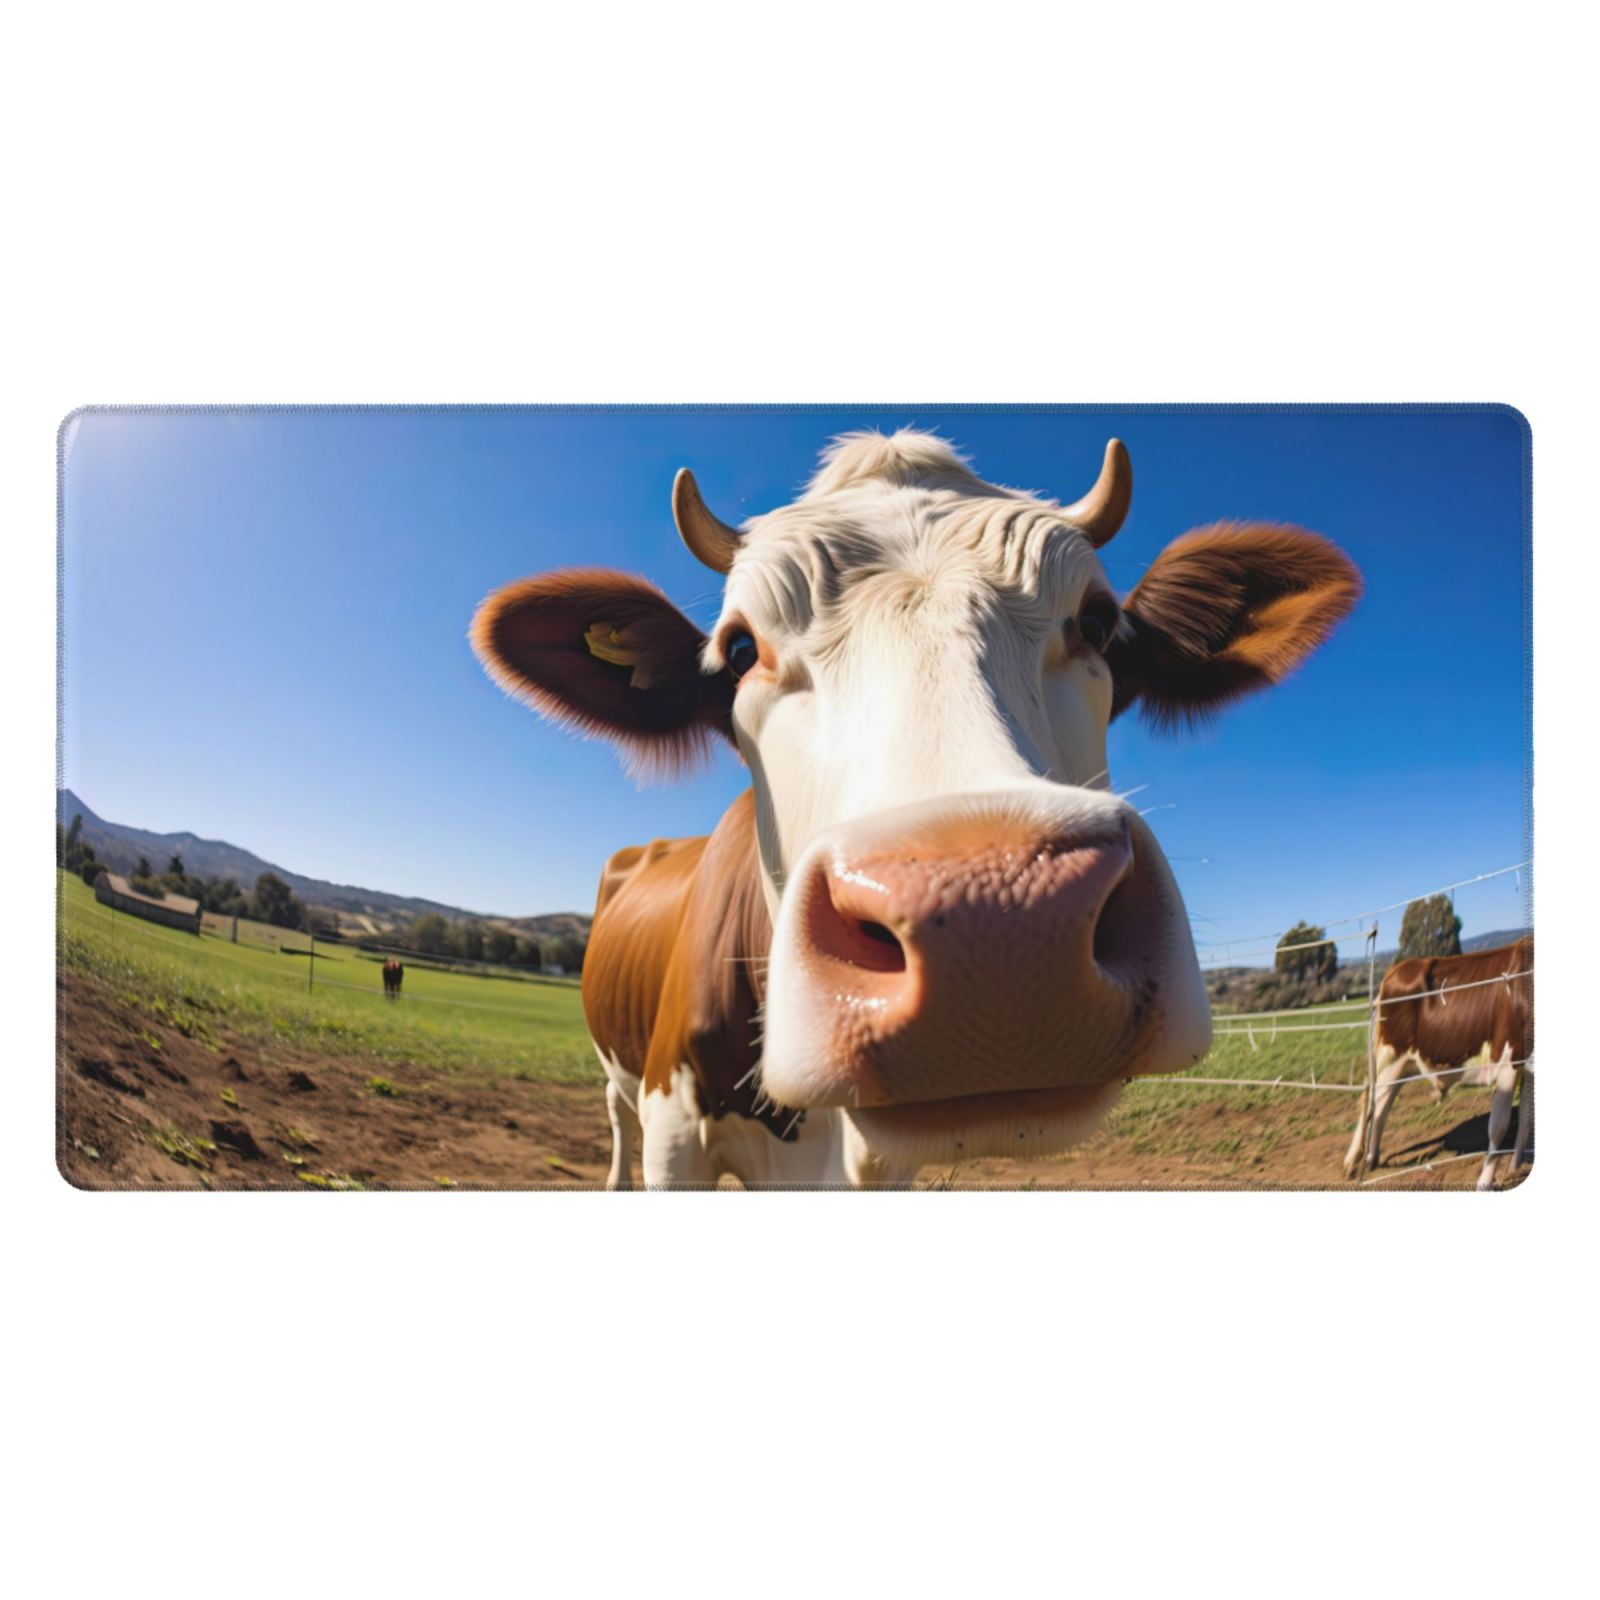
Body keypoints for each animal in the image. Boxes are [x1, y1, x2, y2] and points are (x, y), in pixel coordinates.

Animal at [472, 430, 1361, 1188]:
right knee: (615, 1124)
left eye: (1098, 622)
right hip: (620, 1081)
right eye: (738, 648)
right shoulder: (675, 1139)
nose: (992, 926)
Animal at [1343, 937, 1533, 1189]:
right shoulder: (1507, 1060)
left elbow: (1526, 1119)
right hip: (1389, 1055)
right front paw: (1485, 1181)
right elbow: (1499, 1126)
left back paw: (1371, 1158)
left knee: (1383, 1103)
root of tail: (1396, 970)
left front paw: (1513, 1169)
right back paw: (1353, 1161)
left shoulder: (1529, 1067)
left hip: (1403, 1062)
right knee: (1371, 1099)